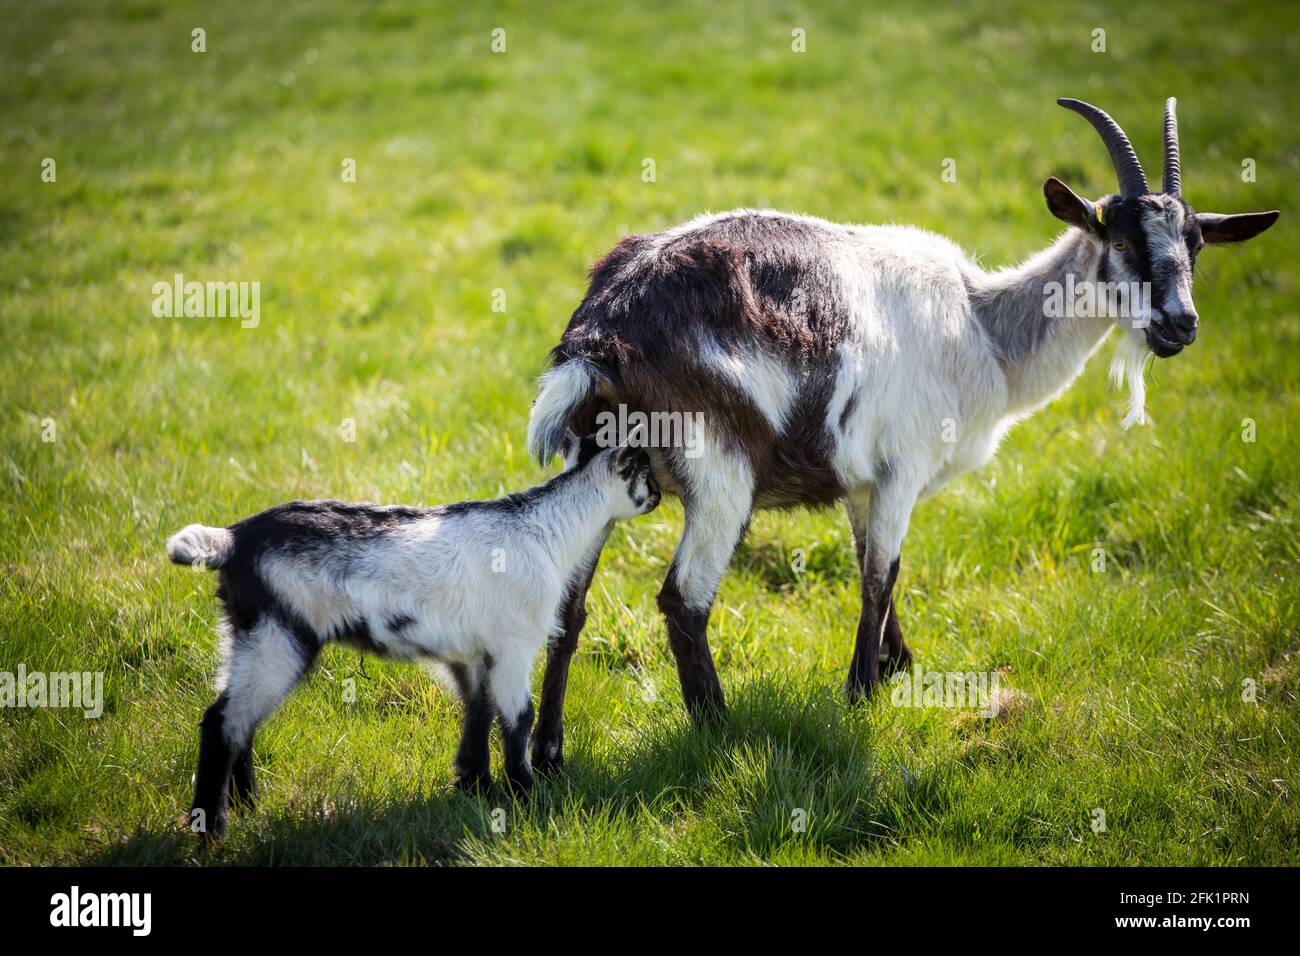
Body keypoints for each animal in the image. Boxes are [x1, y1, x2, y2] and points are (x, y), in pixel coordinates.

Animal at [167, 434, 659, 837]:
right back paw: (213, 827)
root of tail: (233, 539)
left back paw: (248, 804)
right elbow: (519, 716)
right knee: (223, 721)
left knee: (239, 719)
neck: (549, 530)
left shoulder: (472, 653)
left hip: (243, 632)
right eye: (646, 471)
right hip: (279, 635)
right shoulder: (513, 644)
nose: (656, 496)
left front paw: (474, 786)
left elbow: (478, 709)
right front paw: (525, 795)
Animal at [524, 97, 1279, 768]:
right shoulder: (902, 469)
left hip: (597, 468)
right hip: (720, 475)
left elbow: (875, 566)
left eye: (1196, 244)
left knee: (570, 604)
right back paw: (720, 732)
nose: (1181, 325)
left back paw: (547, 758)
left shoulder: (863, 483)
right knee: (684, 601)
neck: (982, 328)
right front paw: (861, 694)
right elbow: (879, 576)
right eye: (1121, 240)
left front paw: (897, 668)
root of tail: (602, 331)